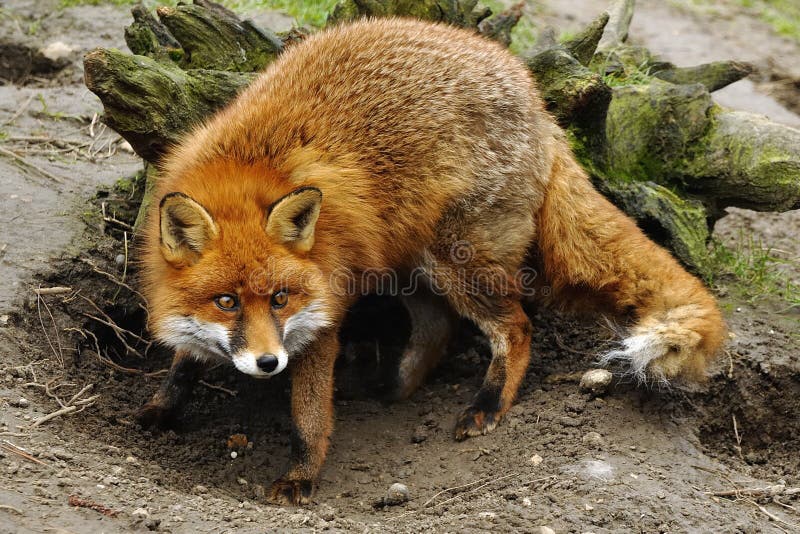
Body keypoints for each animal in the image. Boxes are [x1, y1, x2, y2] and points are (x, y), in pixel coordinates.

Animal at [136, 17, 726, 505]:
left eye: (280, 299)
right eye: (227, 301)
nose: (267, 364)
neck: (246, 170)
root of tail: (538, 103)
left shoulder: (321, 316)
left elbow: (308, 417)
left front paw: (300, 479)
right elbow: (185, 361)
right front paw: (159, 410)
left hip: (458, 263)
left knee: (516, 327)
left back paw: (486, 406)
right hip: (411, 264)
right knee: (439, 327)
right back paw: (392, 389)